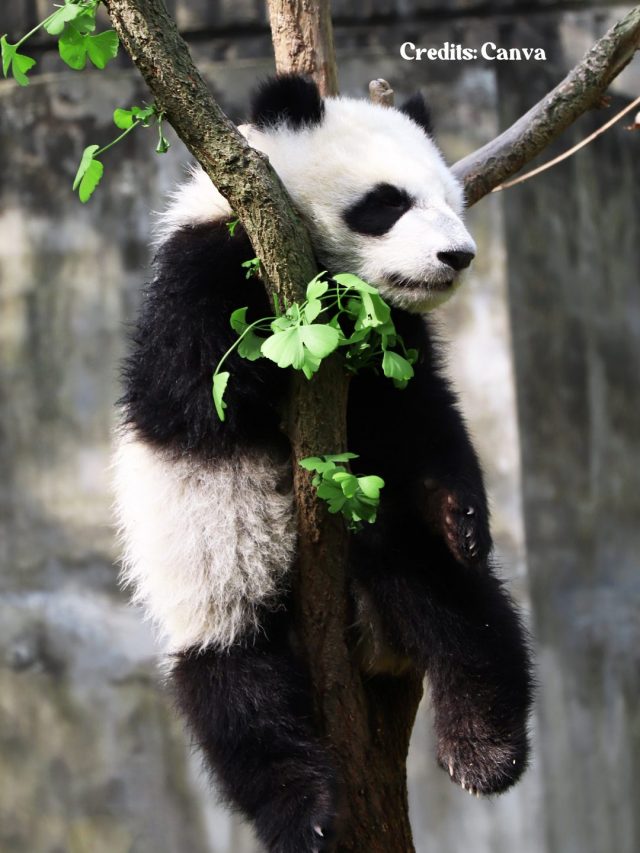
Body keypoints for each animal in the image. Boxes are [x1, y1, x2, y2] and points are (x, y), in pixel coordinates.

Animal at [113, 74, 533, 852]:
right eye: (387, 202)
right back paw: (304, 811)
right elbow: (207, 389)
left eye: (451, 200)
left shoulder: (393, 347)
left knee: (457, 603)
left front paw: (463, 513)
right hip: (218, 602)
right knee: (237, 697)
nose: (458, 257)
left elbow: (422, 420)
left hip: (388, 551)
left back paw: (485, 747)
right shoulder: (202, 276)